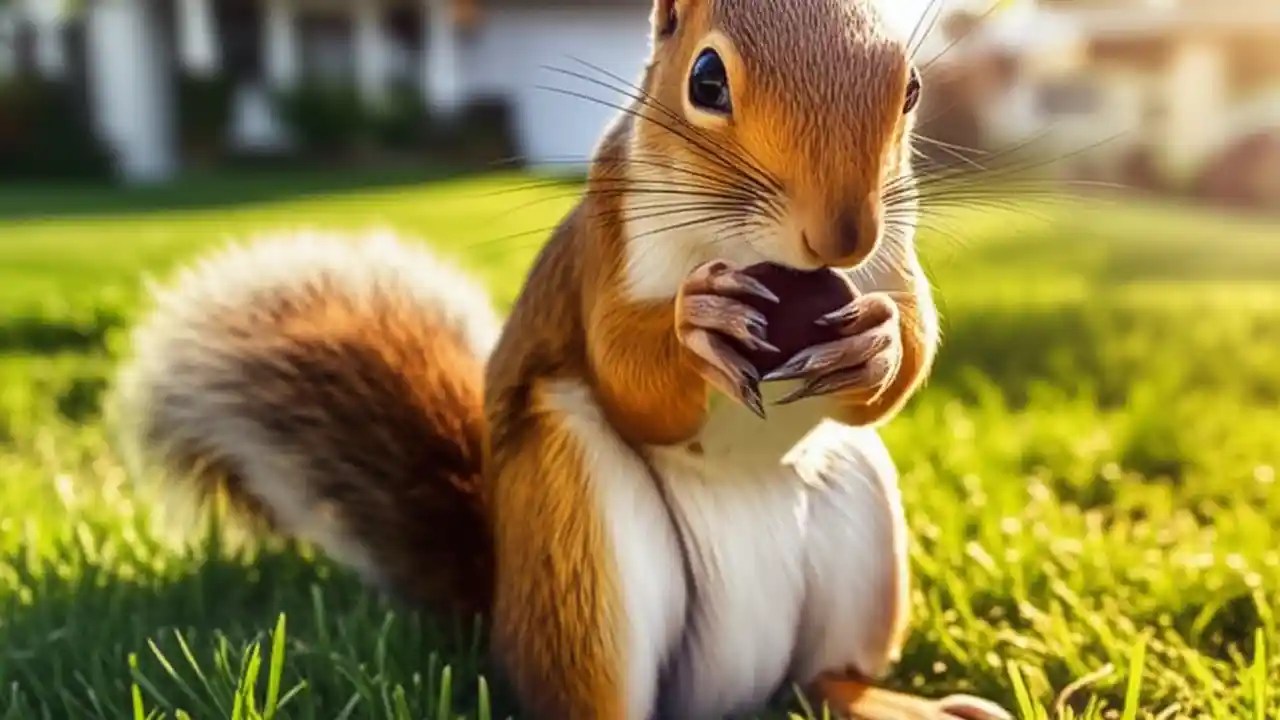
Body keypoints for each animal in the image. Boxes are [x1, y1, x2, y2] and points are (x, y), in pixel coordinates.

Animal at [111, 1, 1014, 719]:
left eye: (912, 89)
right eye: (707, 80)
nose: (842, 235)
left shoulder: (894, 257)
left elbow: (910, 349)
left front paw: (880, 342)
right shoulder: (605, 257)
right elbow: (626, 376)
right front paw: (697, 327)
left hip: (859, 521)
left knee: (822, 682)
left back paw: (915, 708)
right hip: (575, 537)